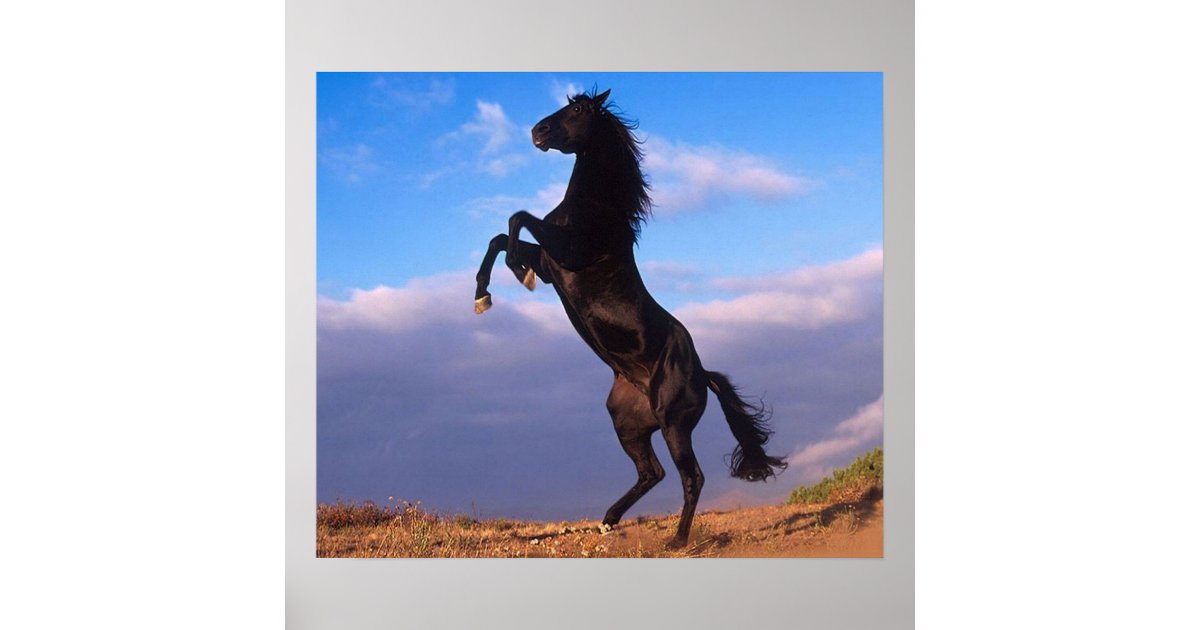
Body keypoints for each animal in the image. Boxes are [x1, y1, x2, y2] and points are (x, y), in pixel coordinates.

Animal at [472, 88, 788, 549]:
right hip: (628, 424)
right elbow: (499, 236)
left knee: (691, 477)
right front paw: (482, 296)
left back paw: (676, 541)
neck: (596, 208)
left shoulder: (565, 254)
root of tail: (703, 374)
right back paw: (608, 520)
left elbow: (517, 219)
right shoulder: (551, 265)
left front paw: (516, 273)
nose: (537, 131)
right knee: (651, 473)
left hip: (674, 425)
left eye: (578, 109)